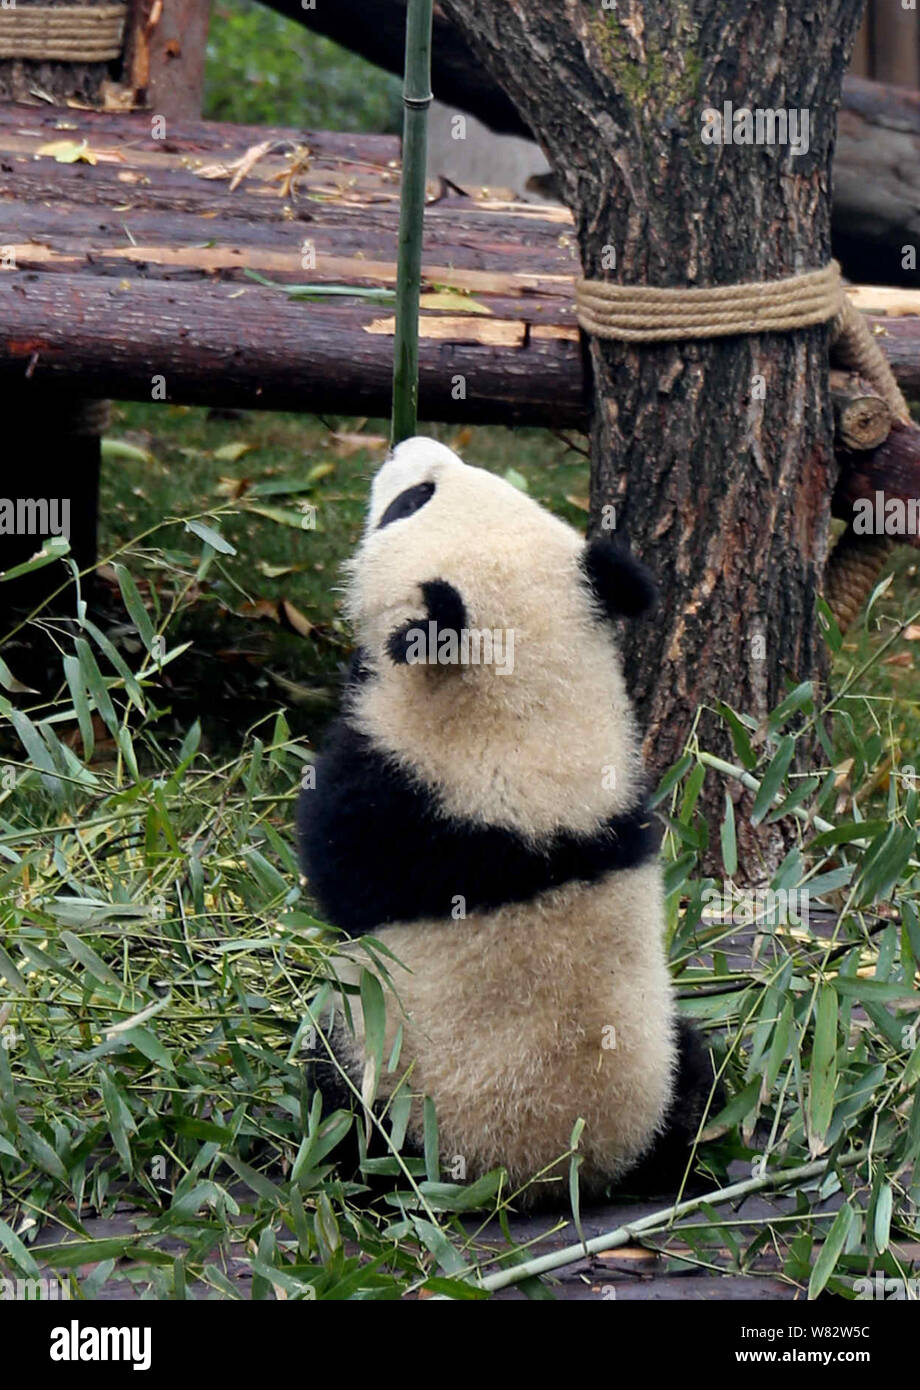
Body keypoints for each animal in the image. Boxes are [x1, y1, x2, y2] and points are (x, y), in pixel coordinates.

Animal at [297, 437, 716, 1205]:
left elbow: (333, 859)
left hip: (394, 1083)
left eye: (413, 502)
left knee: (340, 1110)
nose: (407, 444)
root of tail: (565, 1173)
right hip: (663, 1062)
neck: (527, 707)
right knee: (697, 1073)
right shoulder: (624, 798)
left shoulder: (405, 795)